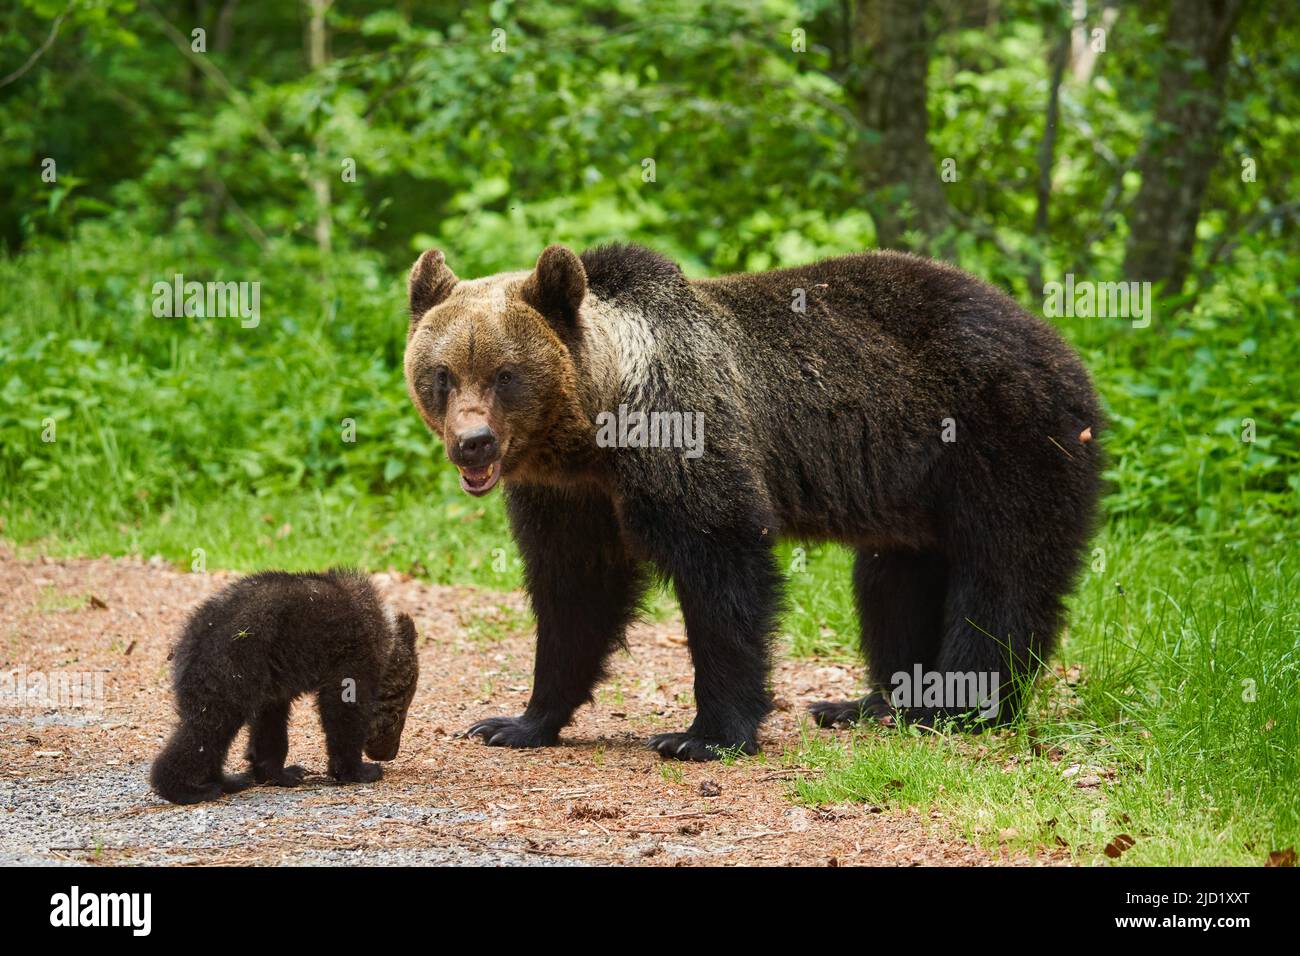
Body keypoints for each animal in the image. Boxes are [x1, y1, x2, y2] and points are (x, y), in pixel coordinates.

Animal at [149, 569, 420, 803]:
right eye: (397, 714)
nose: (388, 753)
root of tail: (190, 637)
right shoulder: (352, 657)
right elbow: (342, 709)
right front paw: (358, 770)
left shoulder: (273, 683)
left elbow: (270, 725)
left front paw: (281, 773)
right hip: (229, 667)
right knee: (207, 727)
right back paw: (184, 789)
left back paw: (227, 781)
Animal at [403, 242, 1102, 760]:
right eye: (442, 375)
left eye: (506, 375)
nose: (473, 443)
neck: (595, 432)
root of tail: (1062, 347)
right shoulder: (569, 496)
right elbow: (575, 592)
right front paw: (517, 721)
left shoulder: (682, 434)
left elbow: (723, 569)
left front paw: (703, 735)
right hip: (913, 495)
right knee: (890, 584)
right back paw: (868, 703)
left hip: (1004, 439)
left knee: (1001, 574)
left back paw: (957, 707)